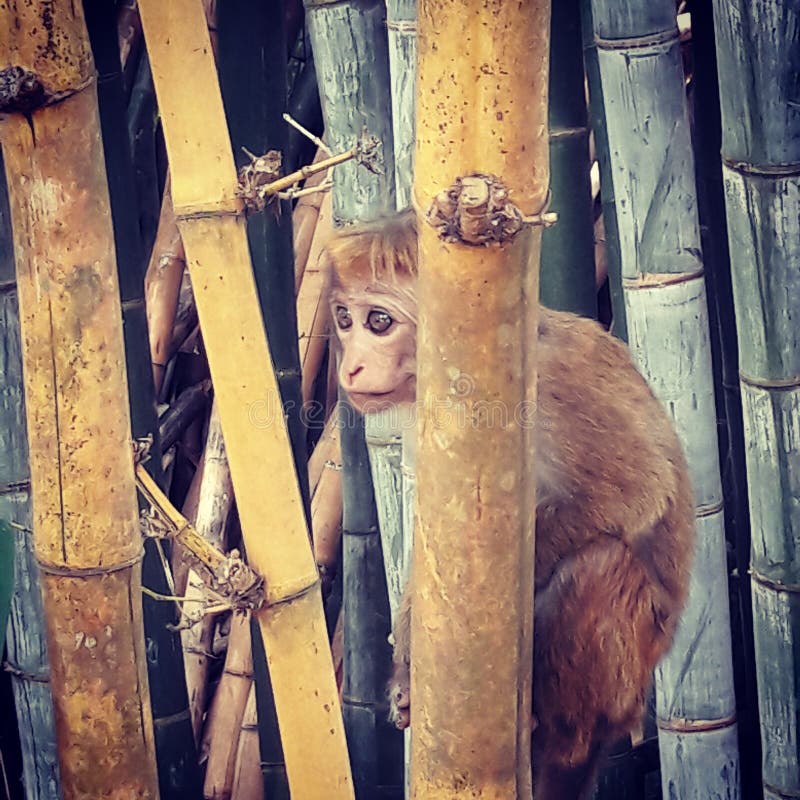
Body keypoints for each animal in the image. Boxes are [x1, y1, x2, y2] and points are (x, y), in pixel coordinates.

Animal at [322, 210, 695, 799]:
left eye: (378, 322)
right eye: (344, 319)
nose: (352, 366)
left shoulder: (553, 379)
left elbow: (636, 488)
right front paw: (408, 664)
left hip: (628, 674)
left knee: (599, 565)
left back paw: (562, 741)